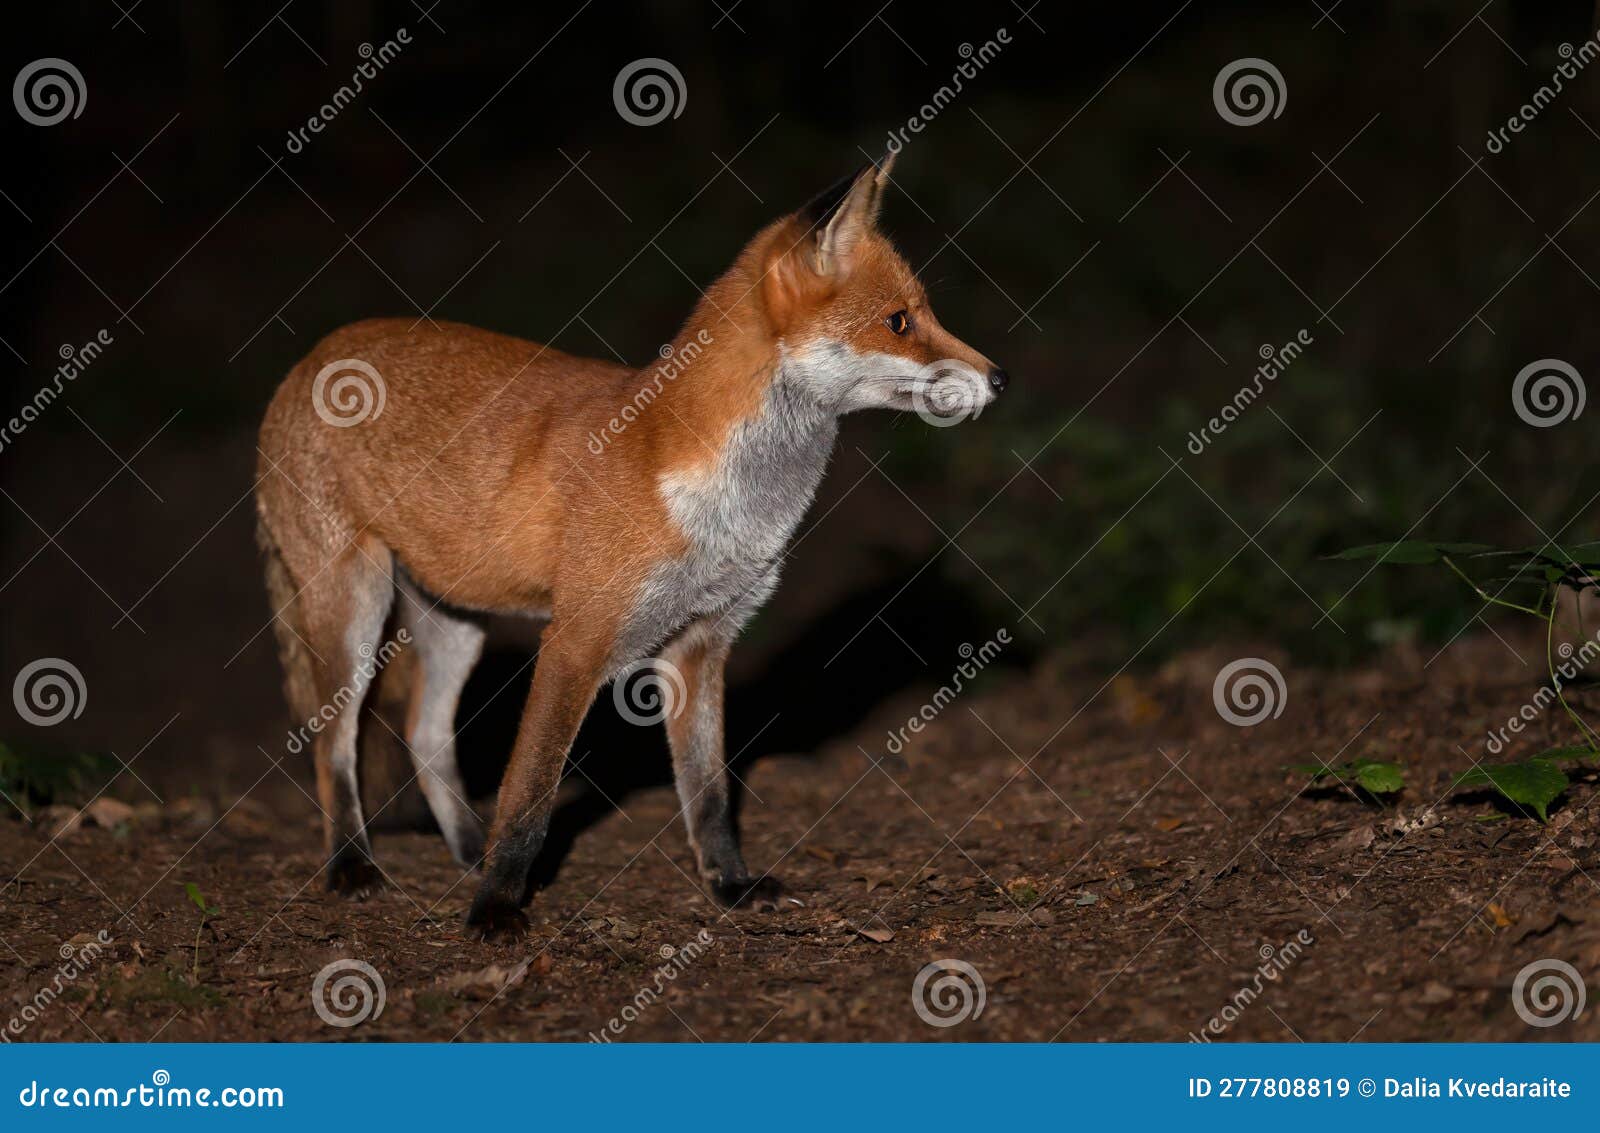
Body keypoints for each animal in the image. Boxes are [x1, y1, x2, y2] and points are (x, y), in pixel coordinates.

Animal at [254, 152, 1007, 941]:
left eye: (926, 314)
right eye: (900, 322)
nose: (999, 377)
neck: (730, 503)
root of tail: (314, 355)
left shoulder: (702, 641)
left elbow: (708, 793)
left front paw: (729, 885)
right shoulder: (575, 640)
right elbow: (530, 794)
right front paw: (496, 906)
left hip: (455, 618)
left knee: (423, 733)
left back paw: (464, 846)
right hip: (354, 609)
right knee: (333, 744)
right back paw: (353, 865)